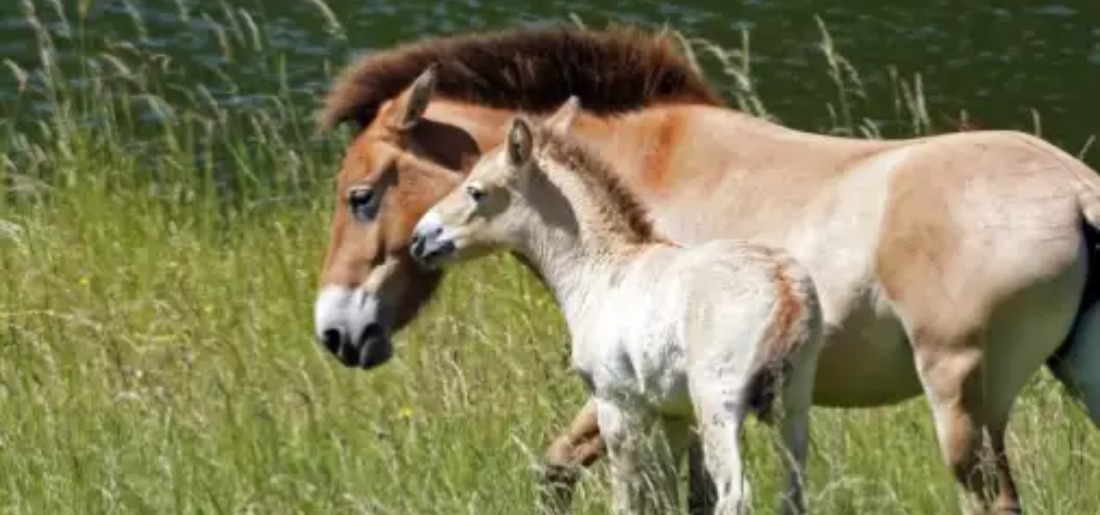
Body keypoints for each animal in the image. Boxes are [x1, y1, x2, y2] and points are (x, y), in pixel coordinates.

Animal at [409, 110, 825, 515]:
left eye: (477, 192)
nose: (419, 240)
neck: (601, 271)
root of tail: (786, 289)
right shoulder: (673, 413)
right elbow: (662, 492)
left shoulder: (616, 405)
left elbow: (626, 495)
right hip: (794, 401)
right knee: (793, 491)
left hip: (718, 402)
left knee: (735, 493)